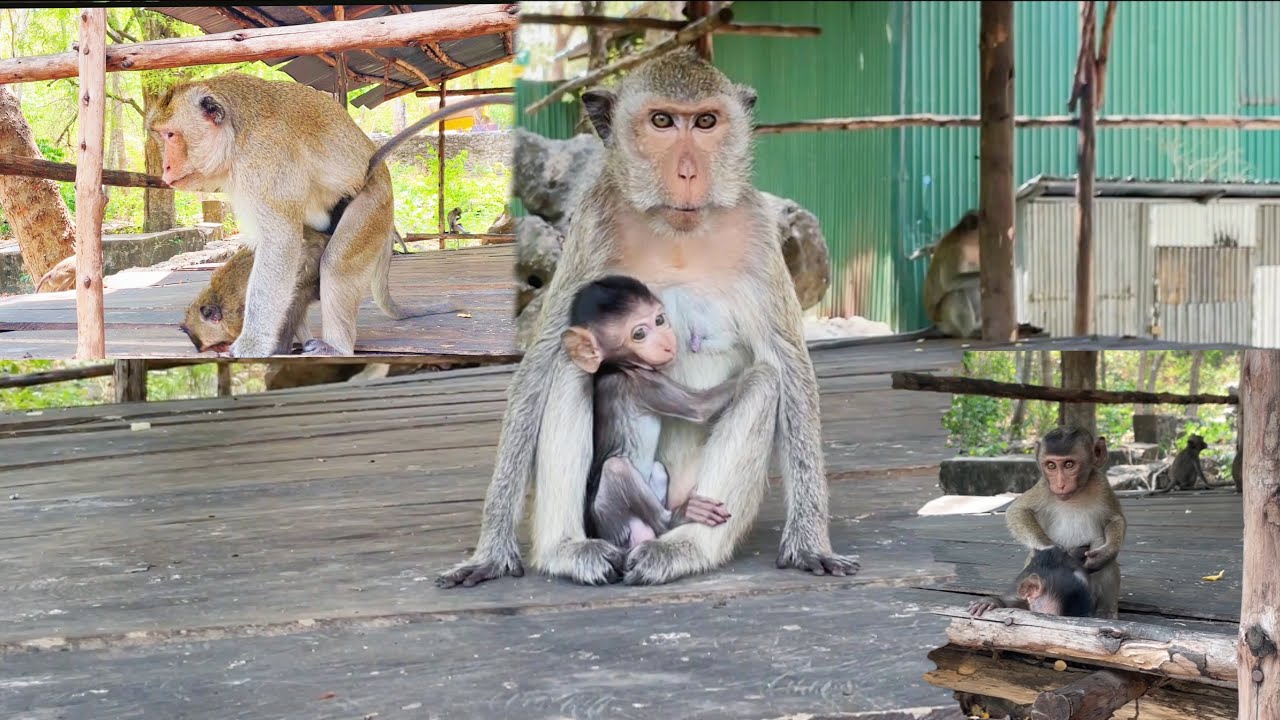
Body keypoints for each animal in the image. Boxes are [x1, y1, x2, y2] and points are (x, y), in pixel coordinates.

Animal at [146, 73, 511, 358]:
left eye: (171, 135)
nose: (165, 168)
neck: (235, 136)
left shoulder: (264, 161)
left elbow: (280, 244)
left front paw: (253, 345)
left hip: (375, 203)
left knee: (336, 262)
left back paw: (336, 347)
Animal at [564, 275, 737, 563]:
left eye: (659, 320)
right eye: (639, 334)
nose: (666, 341)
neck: (622, 365)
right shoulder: (643, 383)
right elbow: (699, 408)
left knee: (656, 468)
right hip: (612, 520)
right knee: (616, 468)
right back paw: (675, 517)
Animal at [1002, 426, 1126, 619]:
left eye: (1069, 464)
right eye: (1051, 465)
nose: (1060, 484)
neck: (1075, 495)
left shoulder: (1101, 483)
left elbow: (1114, 520)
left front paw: (1106, 552)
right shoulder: (1044, 486)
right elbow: (1017, 511)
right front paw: (1052, 548)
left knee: (1104, 554)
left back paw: (1106, 611)